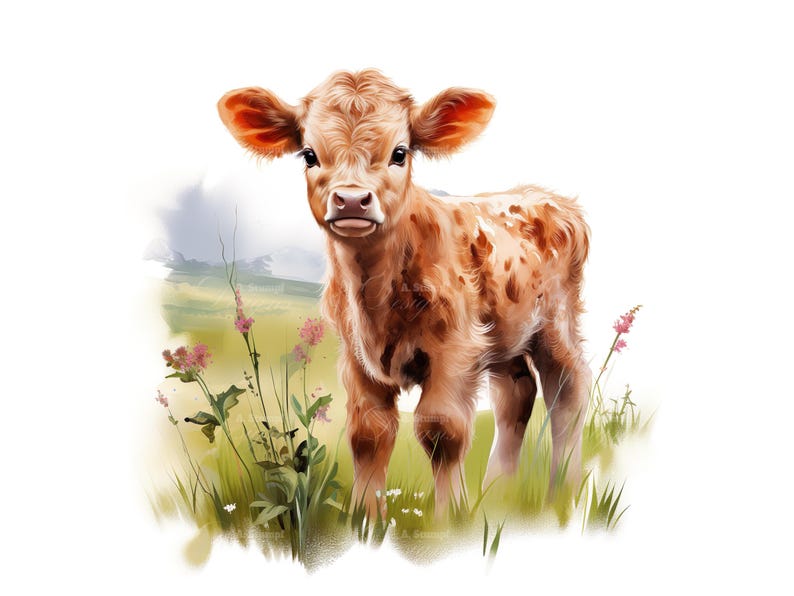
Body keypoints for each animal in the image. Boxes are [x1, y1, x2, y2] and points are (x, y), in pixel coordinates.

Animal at [218, 69, 591, 519]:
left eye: (400, 153)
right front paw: (365, 517)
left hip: (556, 322)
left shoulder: (455, 349)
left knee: (567, 392)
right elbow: (368, 434)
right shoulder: (356, 357)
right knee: (515, 394)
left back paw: (564, 493)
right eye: (308, 154)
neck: (375, 295)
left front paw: (449, 518)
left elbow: (441, 429)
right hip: (504, 336)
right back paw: (497, 492)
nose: (352, 200)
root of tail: (545, 196)